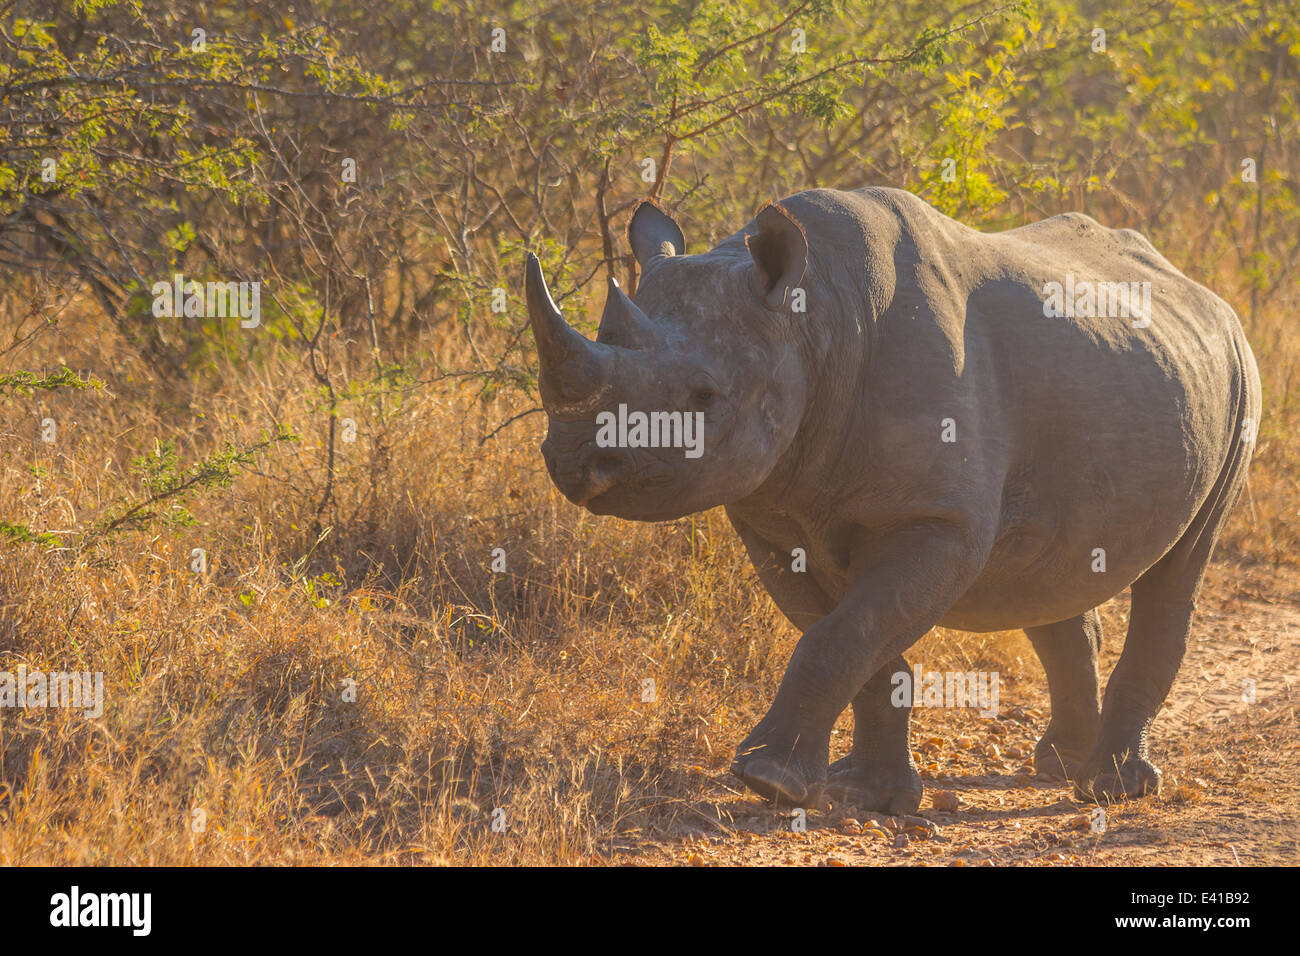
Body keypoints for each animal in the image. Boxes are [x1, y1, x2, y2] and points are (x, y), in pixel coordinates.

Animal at [523, 186, 1261, 811]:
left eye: (705, 398)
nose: (573, 461)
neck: (814, 318)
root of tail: (1208, 296)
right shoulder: (774, 519)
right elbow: (853, 641)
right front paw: (863, 793)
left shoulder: (939, 521)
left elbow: (843, 635)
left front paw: (766, 781)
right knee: (1051, 574)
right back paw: (1061, 765)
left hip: (1239, 382)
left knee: (1179, 569)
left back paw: (1110, 789)